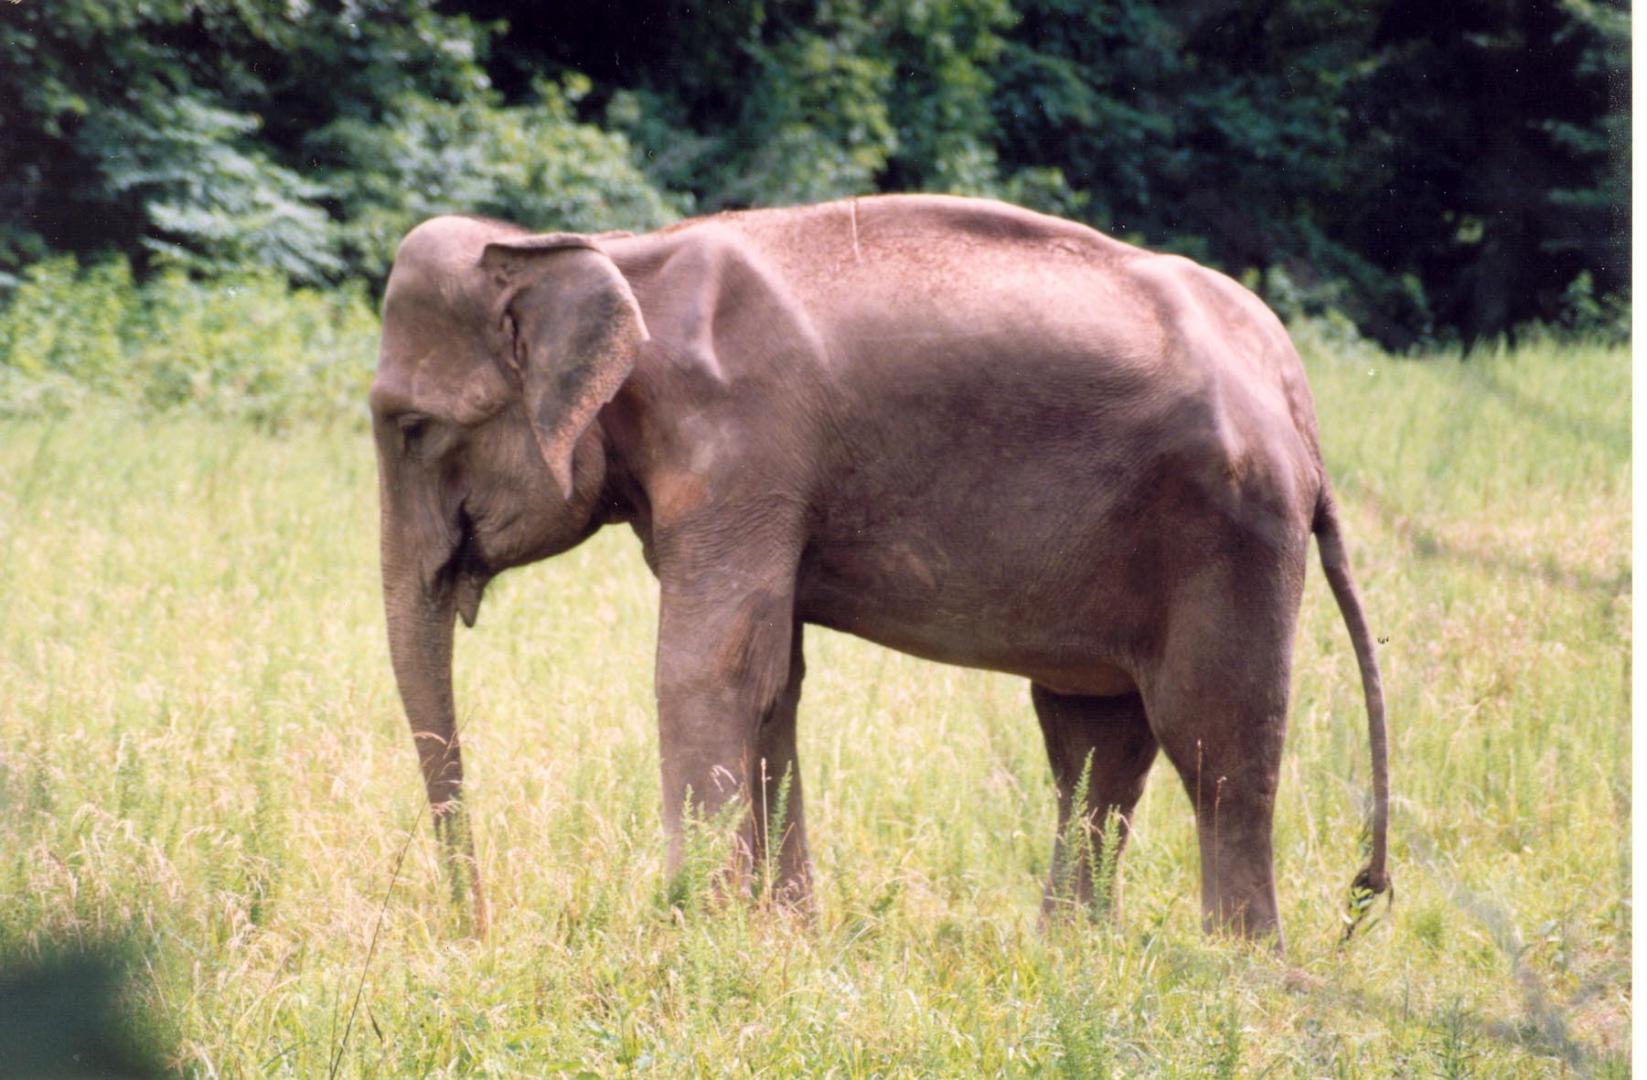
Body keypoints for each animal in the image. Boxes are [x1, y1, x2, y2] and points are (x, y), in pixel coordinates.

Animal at [370, 194, 1389, 945]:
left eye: (411, 427)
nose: (476, 923)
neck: (613, 254)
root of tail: (1296, 402)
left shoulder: (744, 449)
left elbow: (707, 668)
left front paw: (696, 935)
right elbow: (773, 678)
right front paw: (783, 937)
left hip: (1232, 531)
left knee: (1217, 741)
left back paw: (1236, 970)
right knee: (1096, 741)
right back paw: (1070, 953)